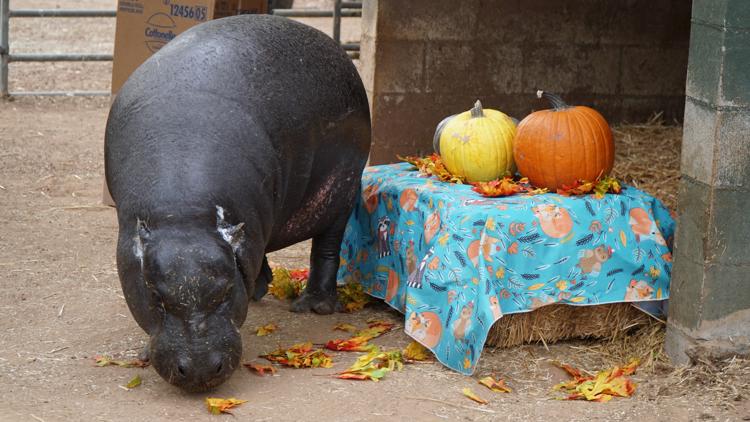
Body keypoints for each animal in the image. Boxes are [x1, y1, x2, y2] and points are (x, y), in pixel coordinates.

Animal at [104, 15, 370, 392]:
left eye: (227, 290)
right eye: (155, 294)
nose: (200, 370)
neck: (183, 214)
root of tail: (336, 49)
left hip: (342, 190)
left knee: (326, 247)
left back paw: (312, 305)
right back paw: (261, 289)